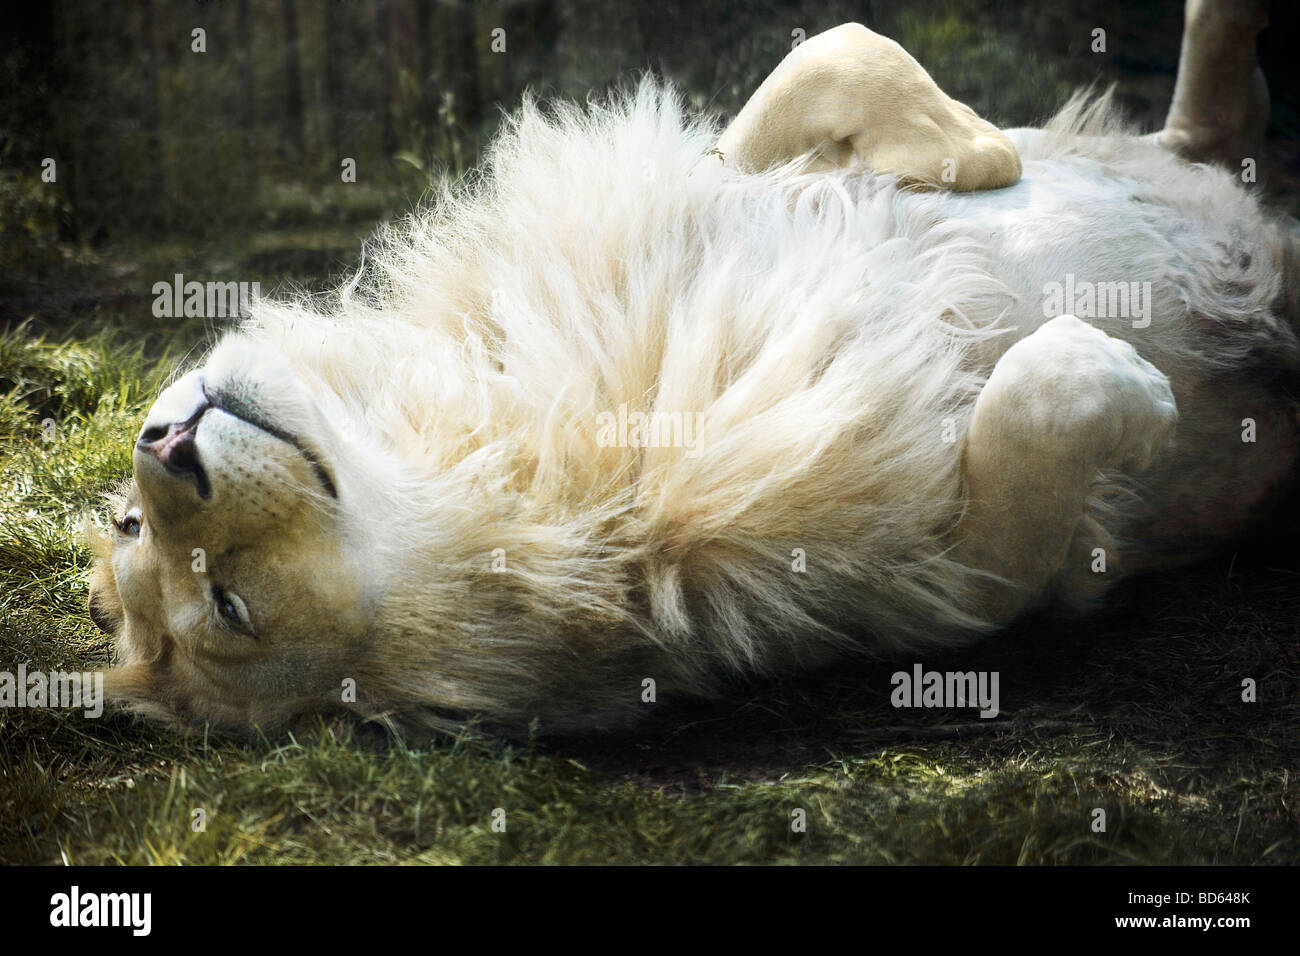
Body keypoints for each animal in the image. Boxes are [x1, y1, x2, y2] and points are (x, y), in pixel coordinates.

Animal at [87, 13, 1300, 738]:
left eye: (128, 528)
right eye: (227, 608)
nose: (165, 446)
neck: (506, 423)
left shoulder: (710, 202)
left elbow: (825, 61)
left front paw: (968, 150)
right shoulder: (953, 583)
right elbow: (1032, 425)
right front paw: (1121, 375)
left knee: (1208, 117)